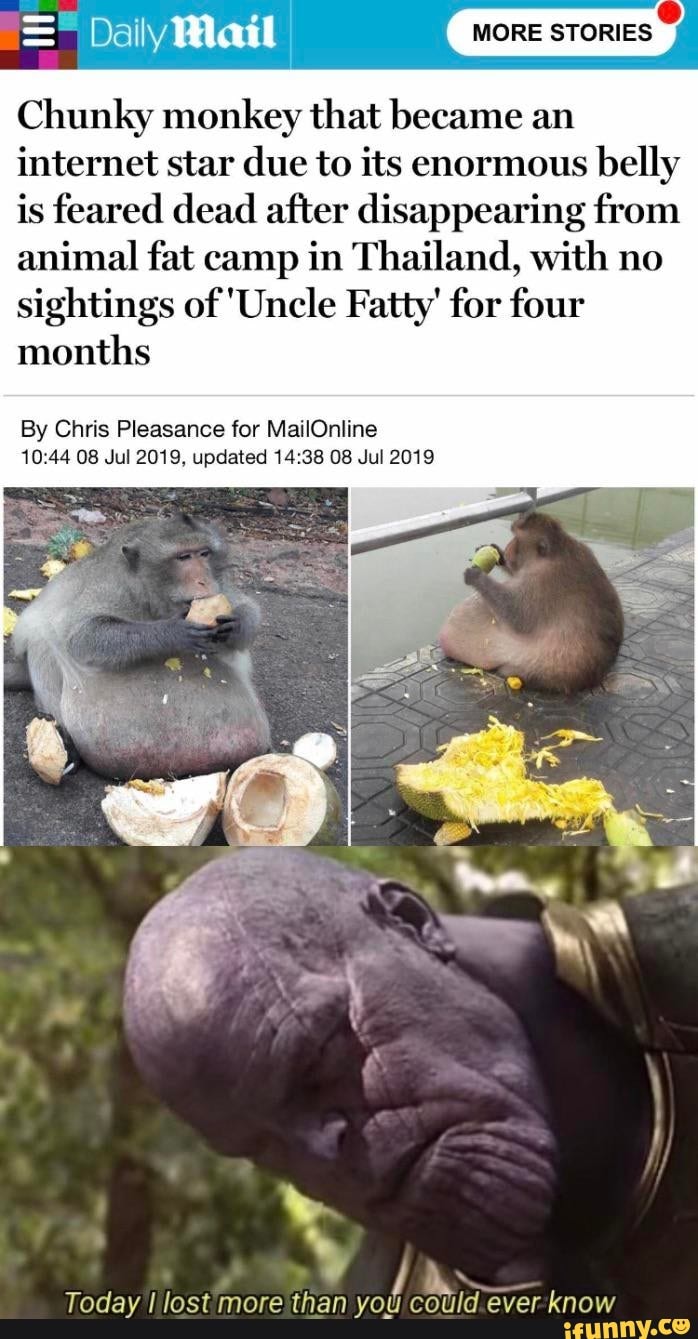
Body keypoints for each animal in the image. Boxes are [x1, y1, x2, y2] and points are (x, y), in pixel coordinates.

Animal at [5, 513, 271, 779]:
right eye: (184, 557)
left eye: (204, 553)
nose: (203, 581)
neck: (150, 596)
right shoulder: (111, 586)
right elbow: (83, 636)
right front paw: (172, 632)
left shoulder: (221, 585)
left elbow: (247, 607)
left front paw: (237, 624)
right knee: (43, 641)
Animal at [438, 512, 624, 694]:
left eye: (517, 539)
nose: (509, 547)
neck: (557, 553)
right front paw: (498, 554)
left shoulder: (544, 583)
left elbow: (518, 616)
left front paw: (477, 577)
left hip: (548, 672)